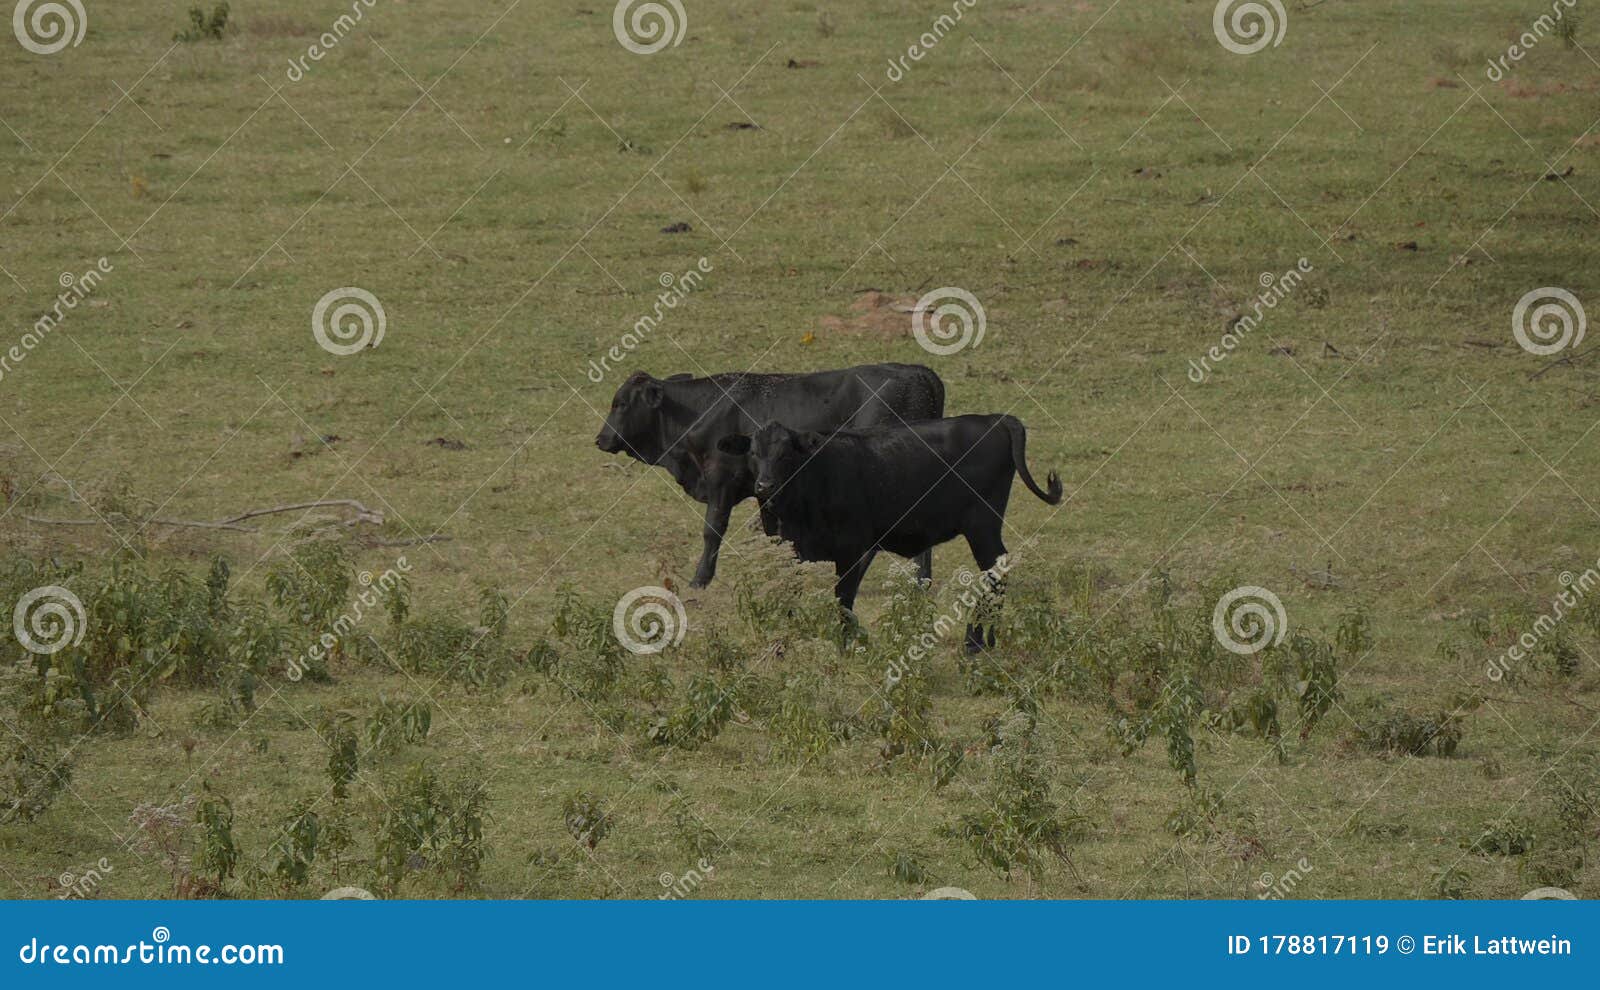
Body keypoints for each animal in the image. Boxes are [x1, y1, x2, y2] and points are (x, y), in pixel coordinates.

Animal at [594, 364, 945, 588]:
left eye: (620, 403)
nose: (600, 439)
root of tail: (917, 372)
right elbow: (775, 535)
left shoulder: (722, 482)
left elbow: (712, 531)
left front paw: (700, 579)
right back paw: (922, 583)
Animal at [726, 413, 1063, 653]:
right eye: (753, 453)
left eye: (785, 454)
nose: (765, 486)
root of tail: (994, 419)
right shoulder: (788, 551)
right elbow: (790, 597)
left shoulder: (851, 548)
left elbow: (843, 598)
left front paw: (845, 645)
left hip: (982, 525)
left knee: (995, 570)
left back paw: (977, 639)